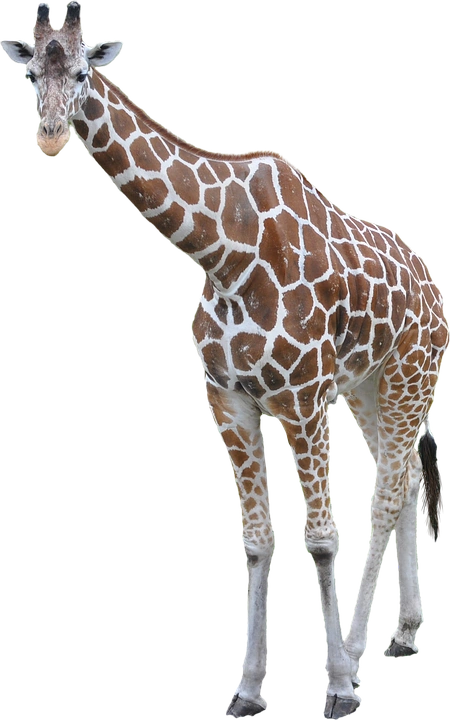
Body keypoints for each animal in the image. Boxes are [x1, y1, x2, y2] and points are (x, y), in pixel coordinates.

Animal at [1, 3, 448, 718]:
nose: (48, 137)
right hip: (368, 388)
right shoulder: (231, 400)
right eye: (30, 74)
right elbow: (254, 542)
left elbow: (321, 539)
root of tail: (432, 287)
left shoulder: (302, 398)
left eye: (80, 72)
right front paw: (246, 691)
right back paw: (402, 635)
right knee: (402, 476)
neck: (224, 251)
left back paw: (355, 655)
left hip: (410, 374)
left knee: (383, 492)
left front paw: (338, 687)